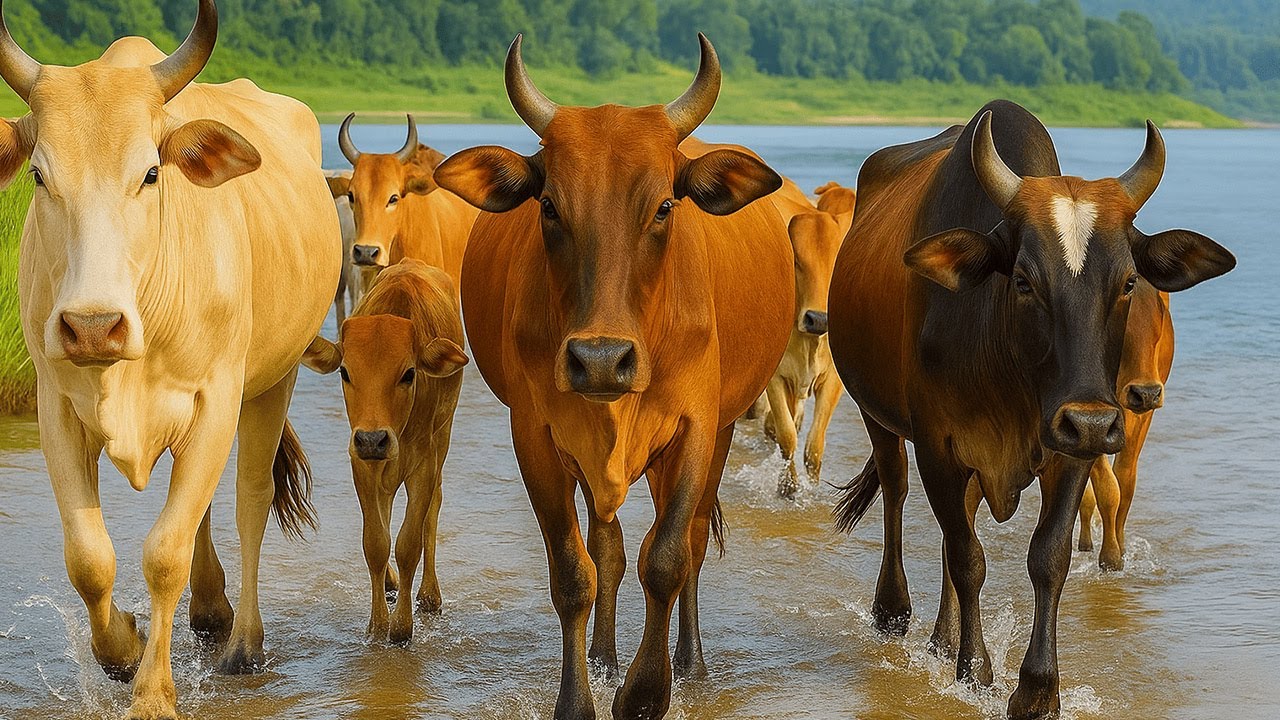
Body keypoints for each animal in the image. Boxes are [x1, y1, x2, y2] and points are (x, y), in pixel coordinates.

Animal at [0, 1, 341, 717]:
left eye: (151, 173)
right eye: (40, 175)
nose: (92, 327)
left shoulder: (217, 397)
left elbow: (164, 554)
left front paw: (154, 694)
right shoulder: (55, 406)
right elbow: (89, 558)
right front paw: (122, 652)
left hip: (275, 378)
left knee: (248, 499)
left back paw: (244, 644)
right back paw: (210, 612)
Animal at [303, 259, 468, 644]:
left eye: (409, 373)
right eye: (345, 372)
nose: (373, 439)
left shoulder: (424, 463)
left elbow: (409, 543)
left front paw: (402, 626)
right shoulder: (360, 463)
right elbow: (376, 542)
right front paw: (378, 624)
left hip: (443, 435)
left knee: (433, 510)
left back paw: (429, 594)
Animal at [433, 35, 793, 720]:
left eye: (664, 206)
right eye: (549, 205)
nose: (600, 359)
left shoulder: (696, 428)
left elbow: (669, 557)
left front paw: (647, 694)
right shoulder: (537, 435)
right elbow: (576, 573)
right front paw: (580, 698)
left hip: (721, 433)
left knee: (692, 543)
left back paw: (691, 662)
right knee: (608, 549)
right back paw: (603, 658)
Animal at [1077, 280, 1173, 571]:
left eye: (1160, 311)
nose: (1146, 393)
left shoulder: (1142, 412)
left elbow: (1125, 481)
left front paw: (1120, 546)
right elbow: (1108, 487)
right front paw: (1109, 557)